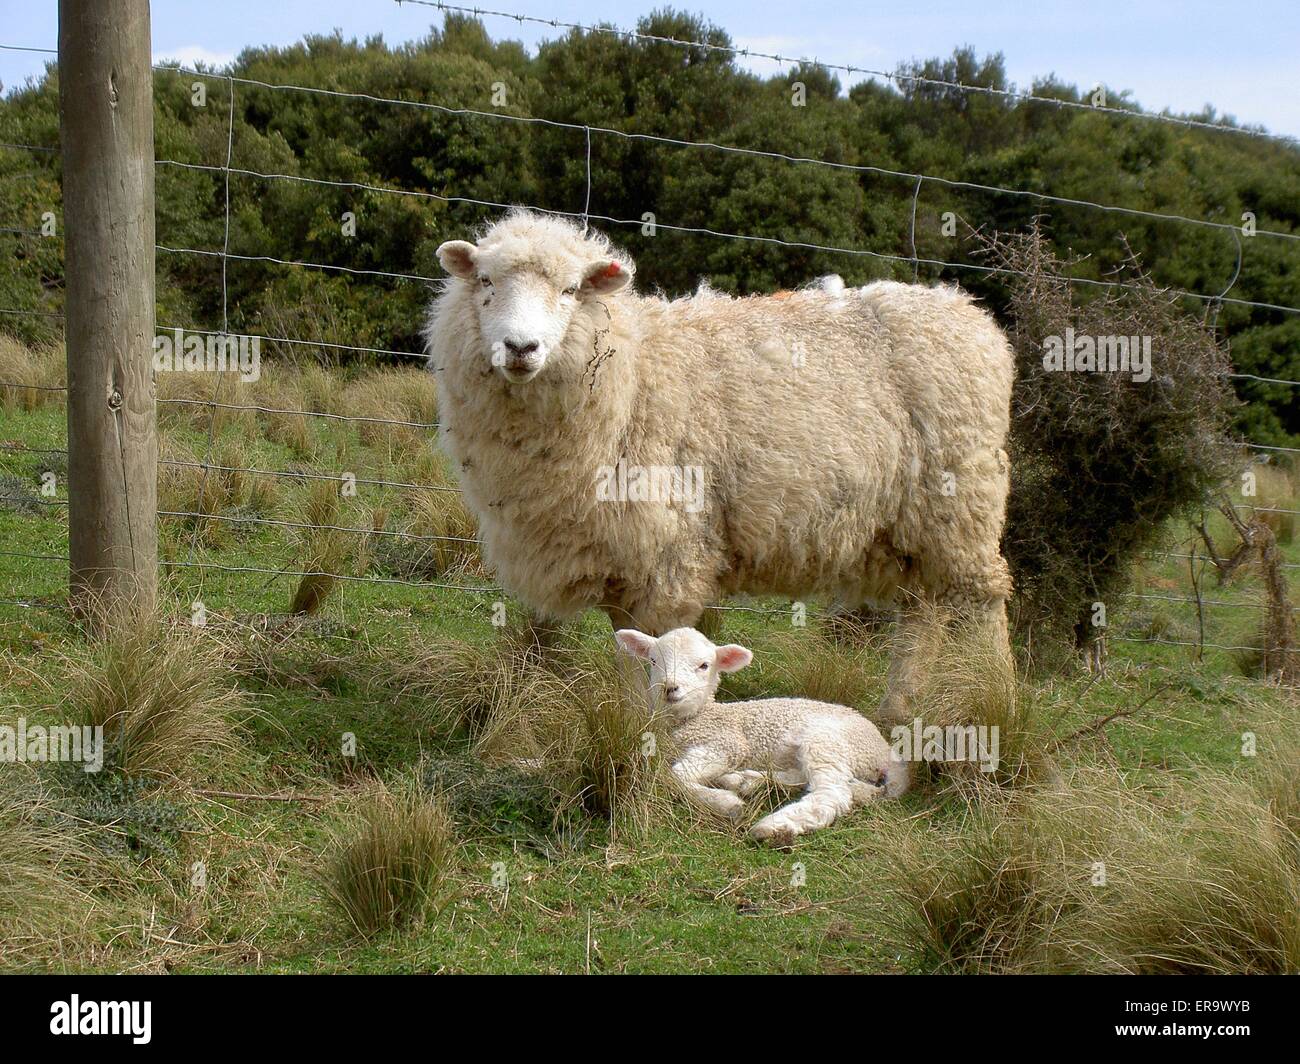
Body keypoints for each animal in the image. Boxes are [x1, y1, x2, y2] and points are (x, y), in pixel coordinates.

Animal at [426, 208, 1015, 721]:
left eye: (570, 290)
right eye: (485, 281)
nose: (519, 347)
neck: (633, 377)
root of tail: (964, 308)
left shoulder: (667, 552)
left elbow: (654, 646)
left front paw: (642, 733)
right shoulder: (621, 551)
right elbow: (630, 646)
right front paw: (627, 720)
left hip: (964, 497)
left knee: (984, 598)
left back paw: (997, 696)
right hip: (918, 525)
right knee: (923, 610)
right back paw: (899, 707)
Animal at [614, 626, 909, 843]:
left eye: (704, 665)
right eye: (653, 661)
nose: (670, 687)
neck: (696, 718)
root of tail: (886, 753)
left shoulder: (726, 744)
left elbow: (673, 776)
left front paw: (725, 804)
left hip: (828, 741)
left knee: (832, 794)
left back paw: (774, 826)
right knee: (805, 778)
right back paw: (745, 781)